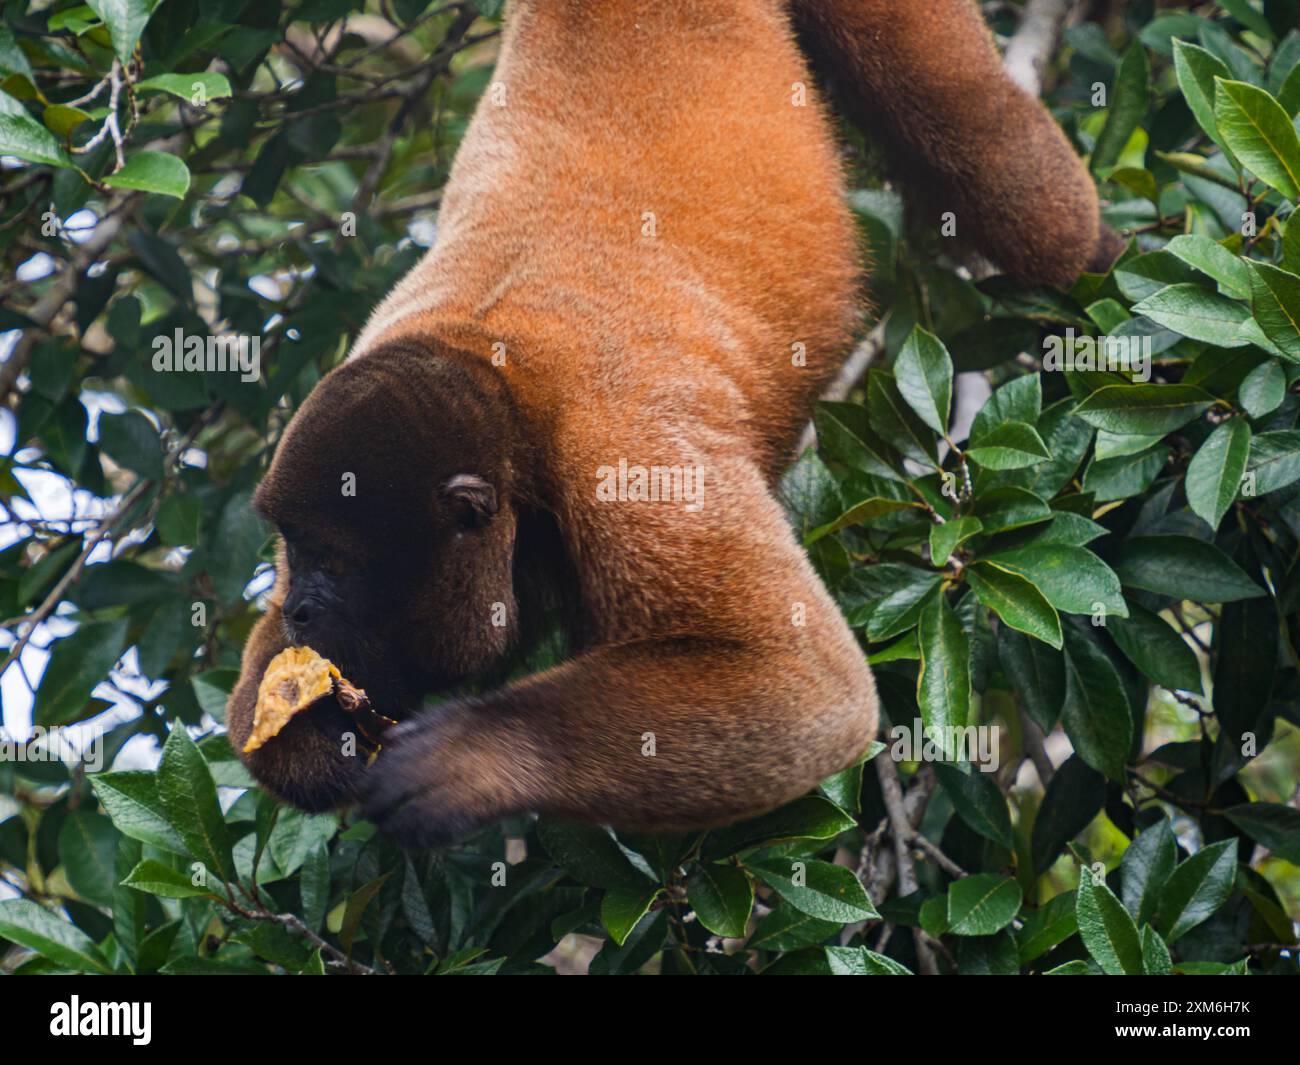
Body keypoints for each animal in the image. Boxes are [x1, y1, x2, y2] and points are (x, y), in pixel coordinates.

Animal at [227, 0, 1121, 846]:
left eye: (337, 562)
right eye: (292, 547)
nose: (301, 609)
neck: (503, 387)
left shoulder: (627, 450)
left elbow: (807, 686)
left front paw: (472, 760)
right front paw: (314, 726)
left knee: (997, 166)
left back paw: (1107, 266)